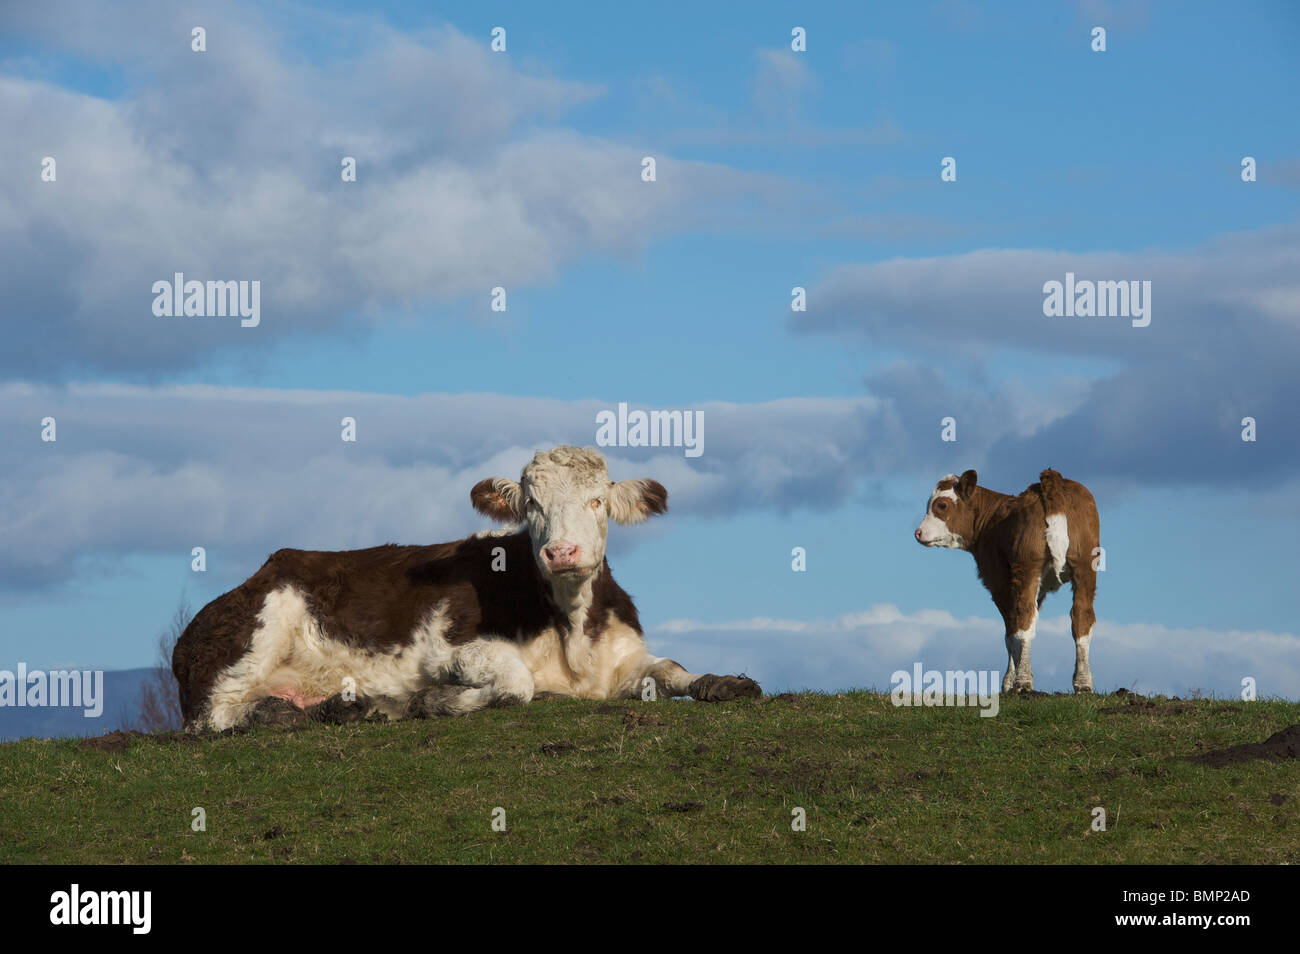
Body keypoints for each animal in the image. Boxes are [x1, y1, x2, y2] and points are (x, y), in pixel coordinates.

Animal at [173, 445, 760, 731]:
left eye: (597, 500)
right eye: (531, 504)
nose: (561, 552)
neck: (570, 628)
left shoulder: (622, 658)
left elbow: (672, 669)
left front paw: (727, 682)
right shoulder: (447, 647)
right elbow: (516, 686)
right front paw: (431, 701)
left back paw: (343, 708)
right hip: (257, 635)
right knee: (213, 718)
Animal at [913, 469, 1100, 694]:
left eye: (941, 505)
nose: (918, 533)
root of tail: (1052, 480)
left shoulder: (999, 580)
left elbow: (1011, 631)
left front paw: (1009, 681)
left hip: (1027, 564)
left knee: (1024, 617)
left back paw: (1023, 681)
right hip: (1085, 565)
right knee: (1081, 616)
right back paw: (1083, 683)